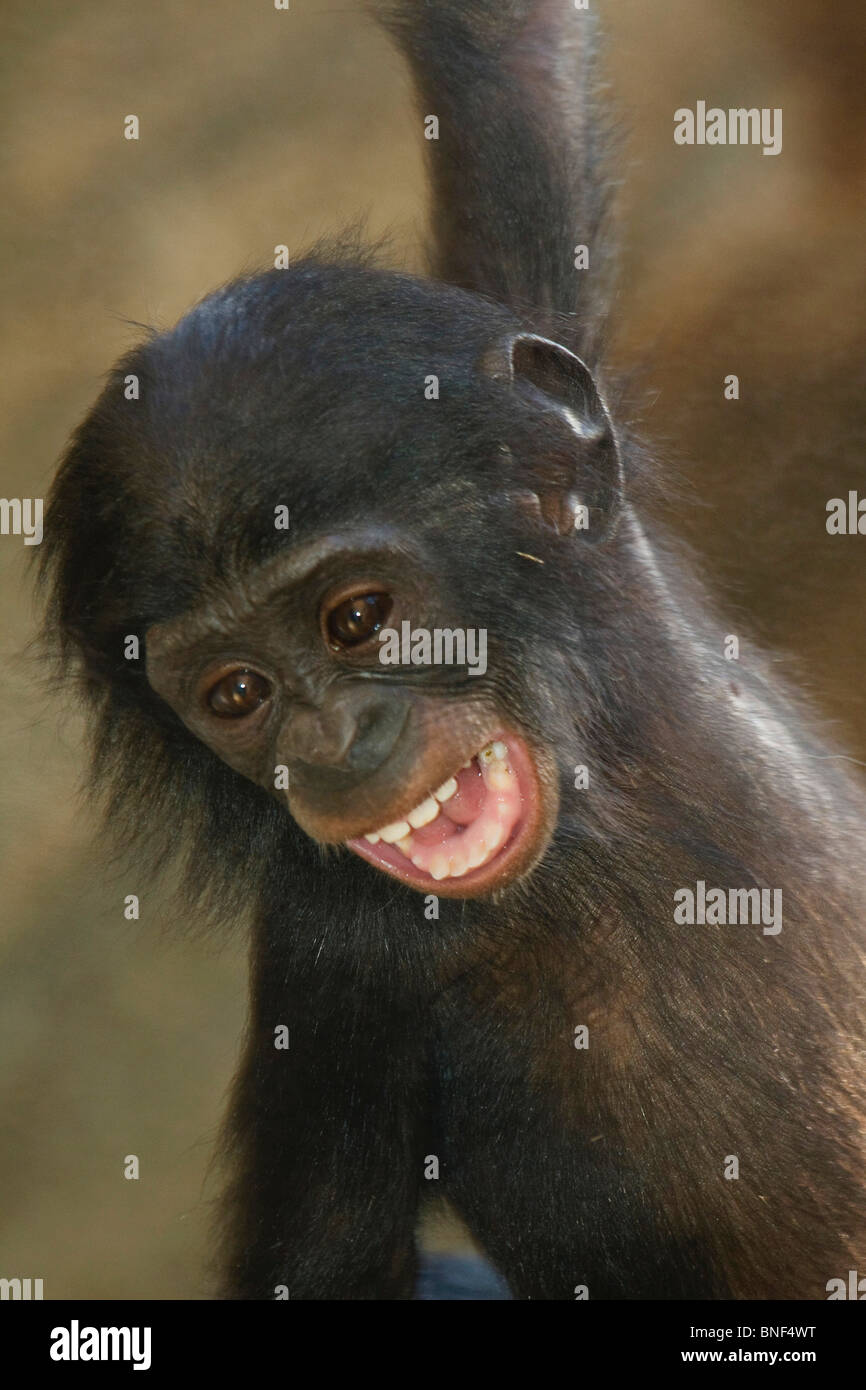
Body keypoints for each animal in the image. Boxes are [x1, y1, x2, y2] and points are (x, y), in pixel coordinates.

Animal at [40, 1, 866, 1300]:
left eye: (356, 618)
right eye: (237, 692)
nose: (336, 735)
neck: (592, 830)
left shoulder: (523, 370)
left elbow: (516, 87)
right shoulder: (333, 978)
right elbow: (327, 1263)